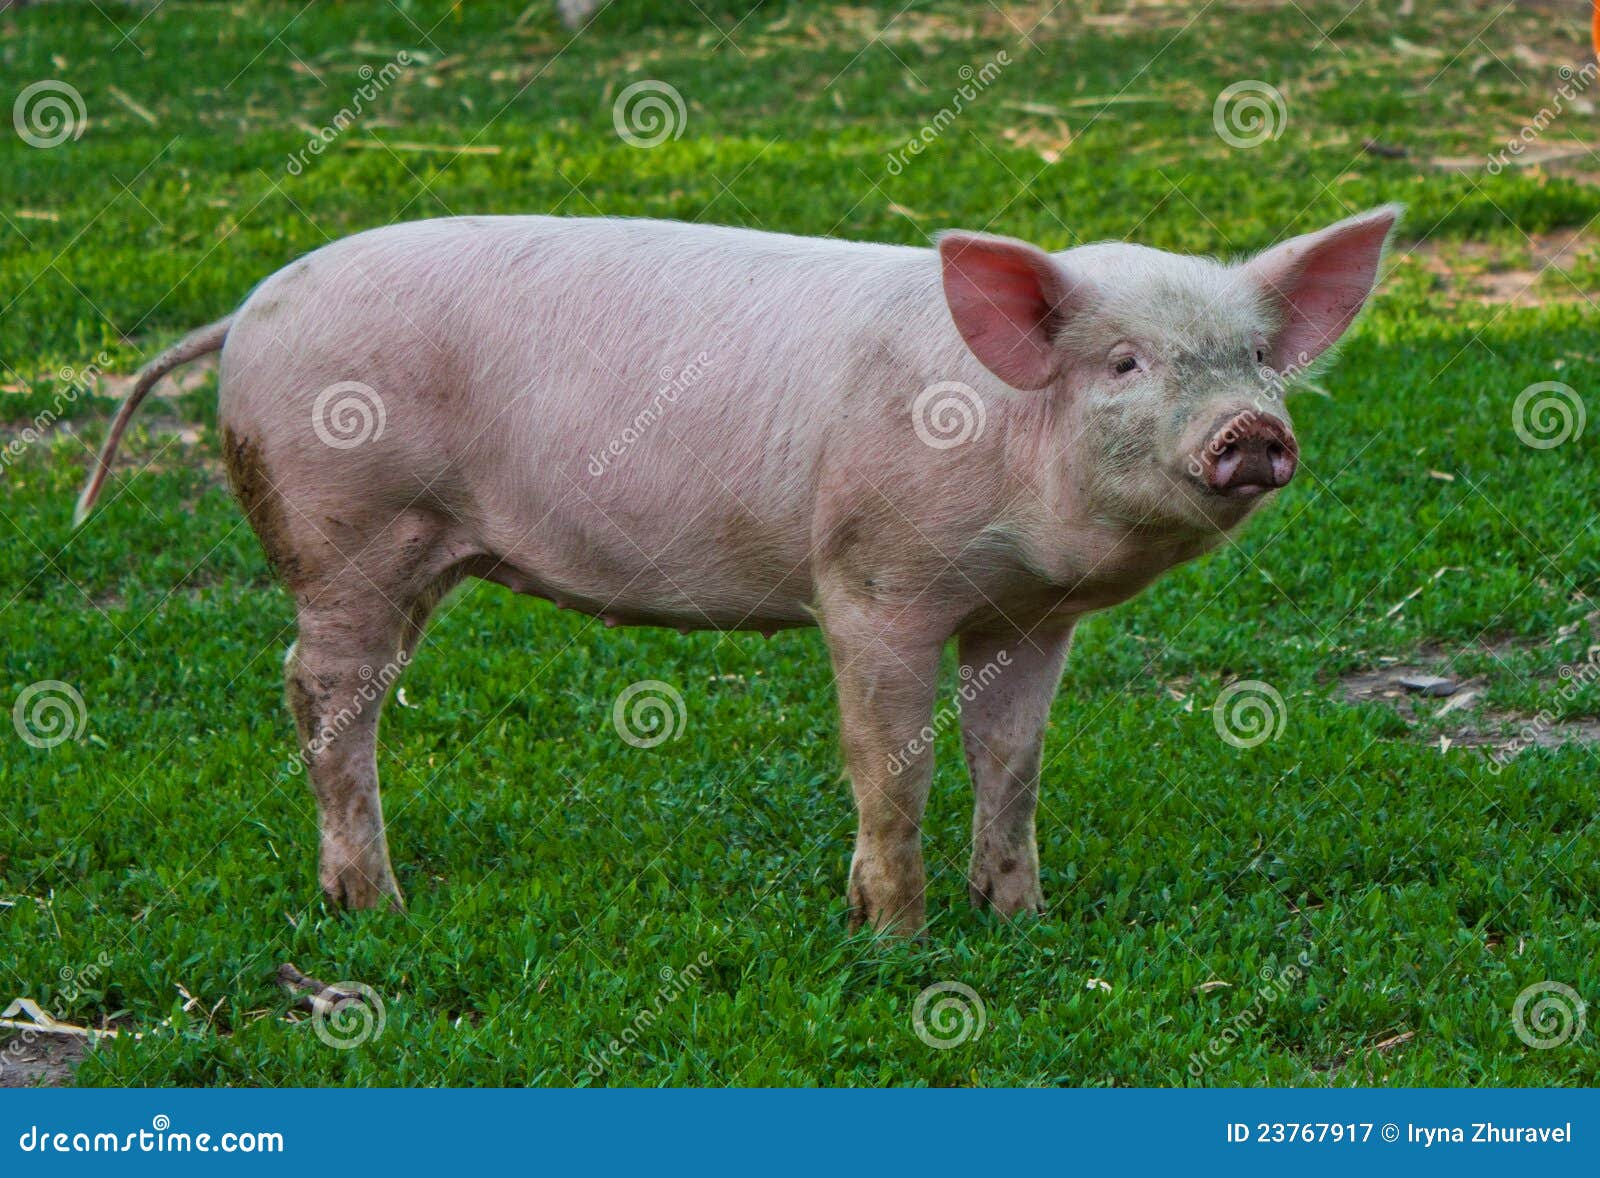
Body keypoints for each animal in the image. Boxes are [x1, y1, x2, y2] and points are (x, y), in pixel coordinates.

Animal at [75, 206, 1398, 934]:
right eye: (1123, 362)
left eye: (1256, 356)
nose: (1250, 432)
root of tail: (247, 307)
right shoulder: (868, 581)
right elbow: (891, 764)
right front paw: (895, 934)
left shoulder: (1030, 617)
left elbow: (1012, 763)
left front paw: (1020, 916)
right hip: (345, 525)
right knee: (318, 690)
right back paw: (377, 905)